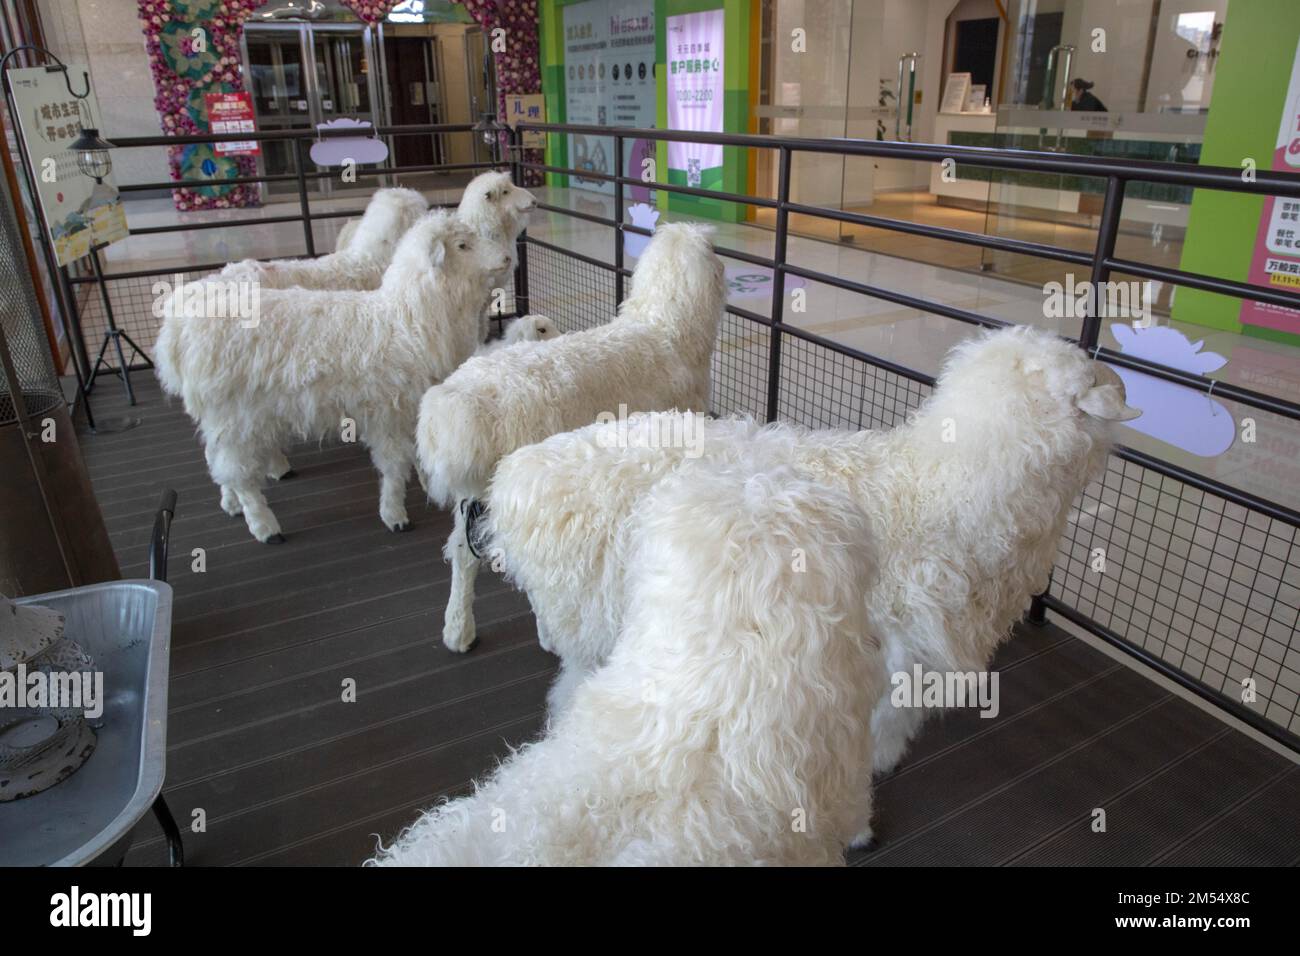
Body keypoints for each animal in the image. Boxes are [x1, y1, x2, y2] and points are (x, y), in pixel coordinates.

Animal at [155, 210, 513, 543]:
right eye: (463, 245)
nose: (507, 257)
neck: (407, 320)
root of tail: (178, 329)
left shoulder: (410, 407)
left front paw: (425, 483)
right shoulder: (388, 412)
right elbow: (394, 466)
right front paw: (394, 513)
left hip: (222, 418)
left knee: (216, 459)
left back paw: (230, 502)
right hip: (233, 415)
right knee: (239, 473)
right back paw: (263, 524)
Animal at [414, 222, 725, 653]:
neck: (664, 330)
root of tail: (461, 408)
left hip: (473, 494)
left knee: (462, 553)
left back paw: (458, 630)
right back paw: (546, 634)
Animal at [484, 324, 1140, 847]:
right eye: (1084, 376)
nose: (1124, 387)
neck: (940, 494)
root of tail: (518, 480)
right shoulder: (895, 659)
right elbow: (873, 740)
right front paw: (858, 823)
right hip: (596, 622)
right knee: (573, 698)